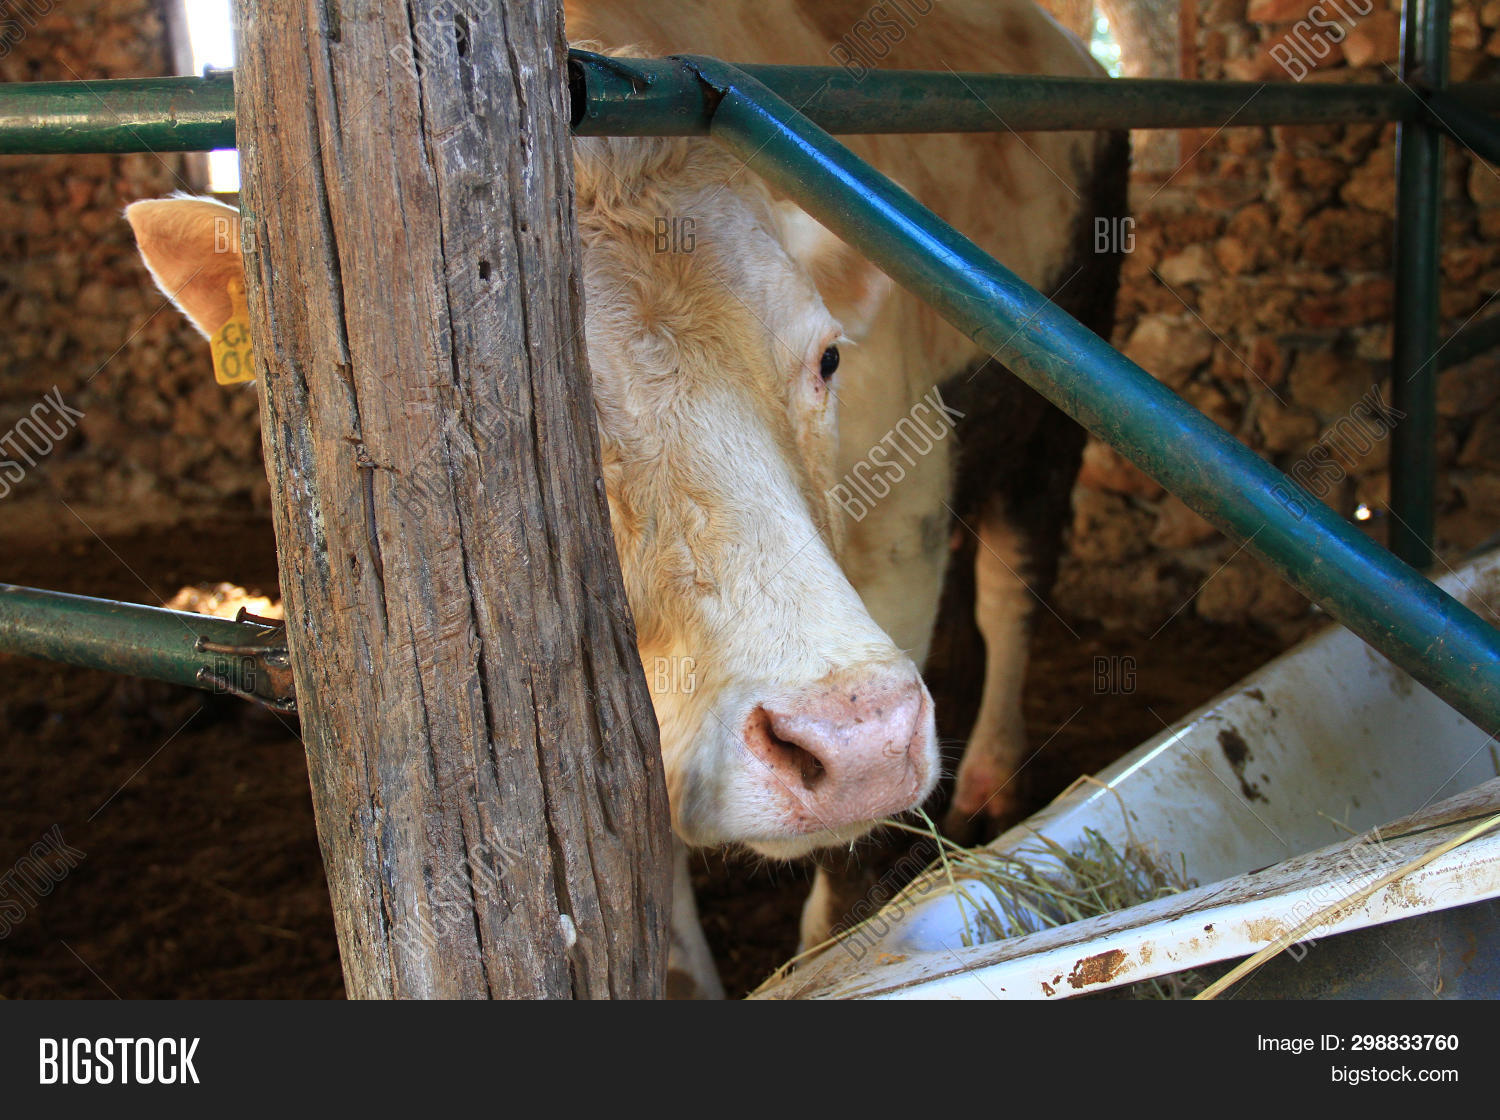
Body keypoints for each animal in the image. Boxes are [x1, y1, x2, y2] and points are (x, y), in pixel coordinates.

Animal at [126, 0, 1127, 998]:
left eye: (829, 357)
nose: (853, 745)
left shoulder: (901, 528)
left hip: (1054, 416)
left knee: (1010, 590)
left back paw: (992, 777)